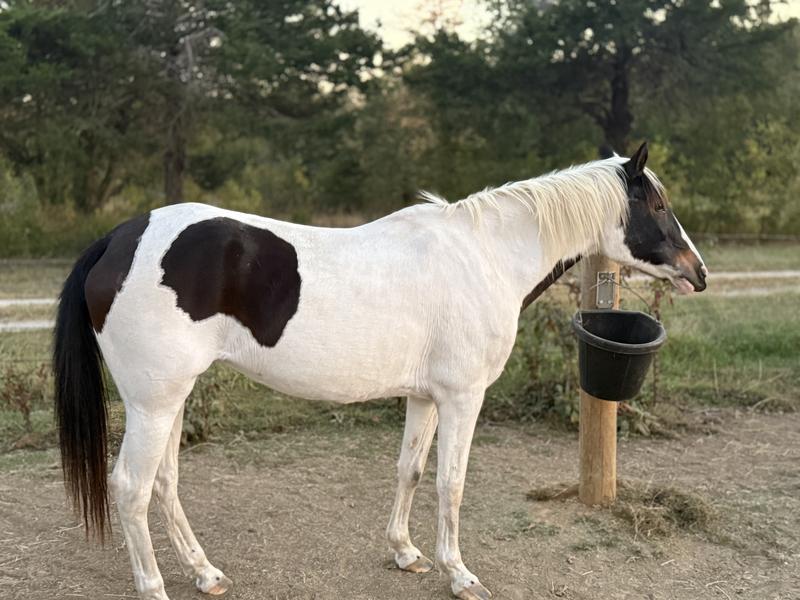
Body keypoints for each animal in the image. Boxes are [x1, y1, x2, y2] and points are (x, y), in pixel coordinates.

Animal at [53, 142, 707, 600]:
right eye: (658, 204)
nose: (697, 271)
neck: (485, 257)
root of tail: (119, 239)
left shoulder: (426, 397)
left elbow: (410, 471)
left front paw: (406, 553)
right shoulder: (463, 397)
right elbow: (451, 483)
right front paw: (459, 574)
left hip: (171, 398)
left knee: (164, 483)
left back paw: (206, 573)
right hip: (153, 402)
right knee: (131, 487)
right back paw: (154, 585)